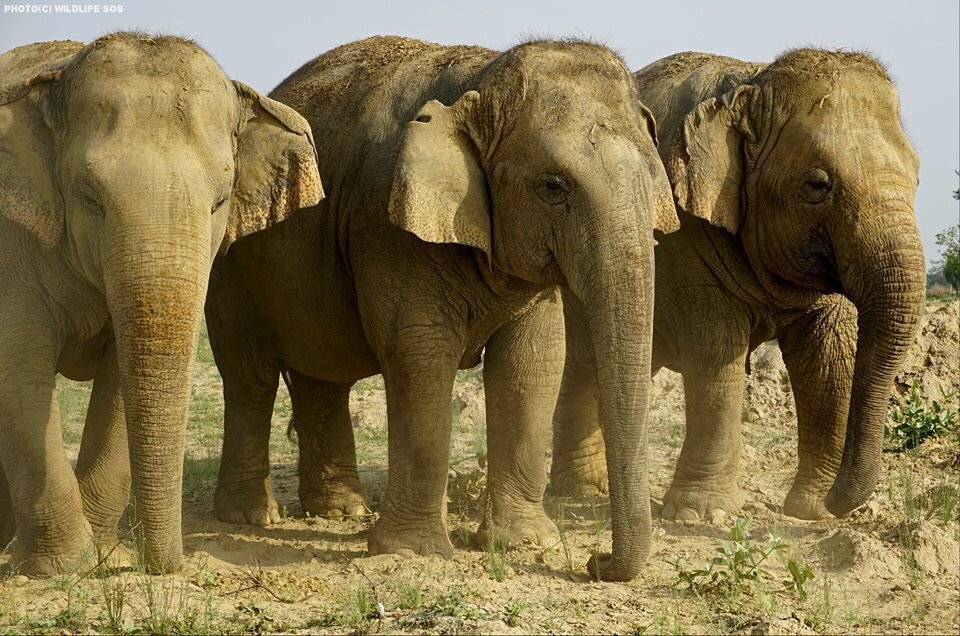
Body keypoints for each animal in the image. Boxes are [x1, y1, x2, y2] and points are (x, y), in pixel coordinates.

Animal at [0, 33, 323, 576]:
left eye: (220, 201)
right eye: (90, 199)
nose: (165, 566)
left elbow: (118, 382)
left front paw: (104, 552)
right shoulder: (10, 247)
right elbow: (21, 373)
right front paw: (64, 568)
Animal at [205, 36, 684, 581]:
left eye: (652, 181)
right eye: (553, 186)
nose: (594, 559)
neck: (480, 82)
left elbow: (532, 362)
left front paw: (522, 543)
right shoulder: (388, 225)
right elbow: (422, 356)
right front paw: (412, 552)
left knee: (322, 375)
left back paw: (339, 511)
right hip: (228, 261)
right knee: (251, 376)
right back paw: (250, 516)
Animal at [550, 49, 926, 522]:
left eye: (917, 178)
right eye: (817, 185)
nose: (836, 501)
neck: (752, 84)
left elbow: (825, 355)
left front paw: (810, 512)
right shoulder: (682, 237)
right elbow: (715, 348)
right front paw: (699, 515)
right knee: (586, 358)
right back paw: (577, 495)